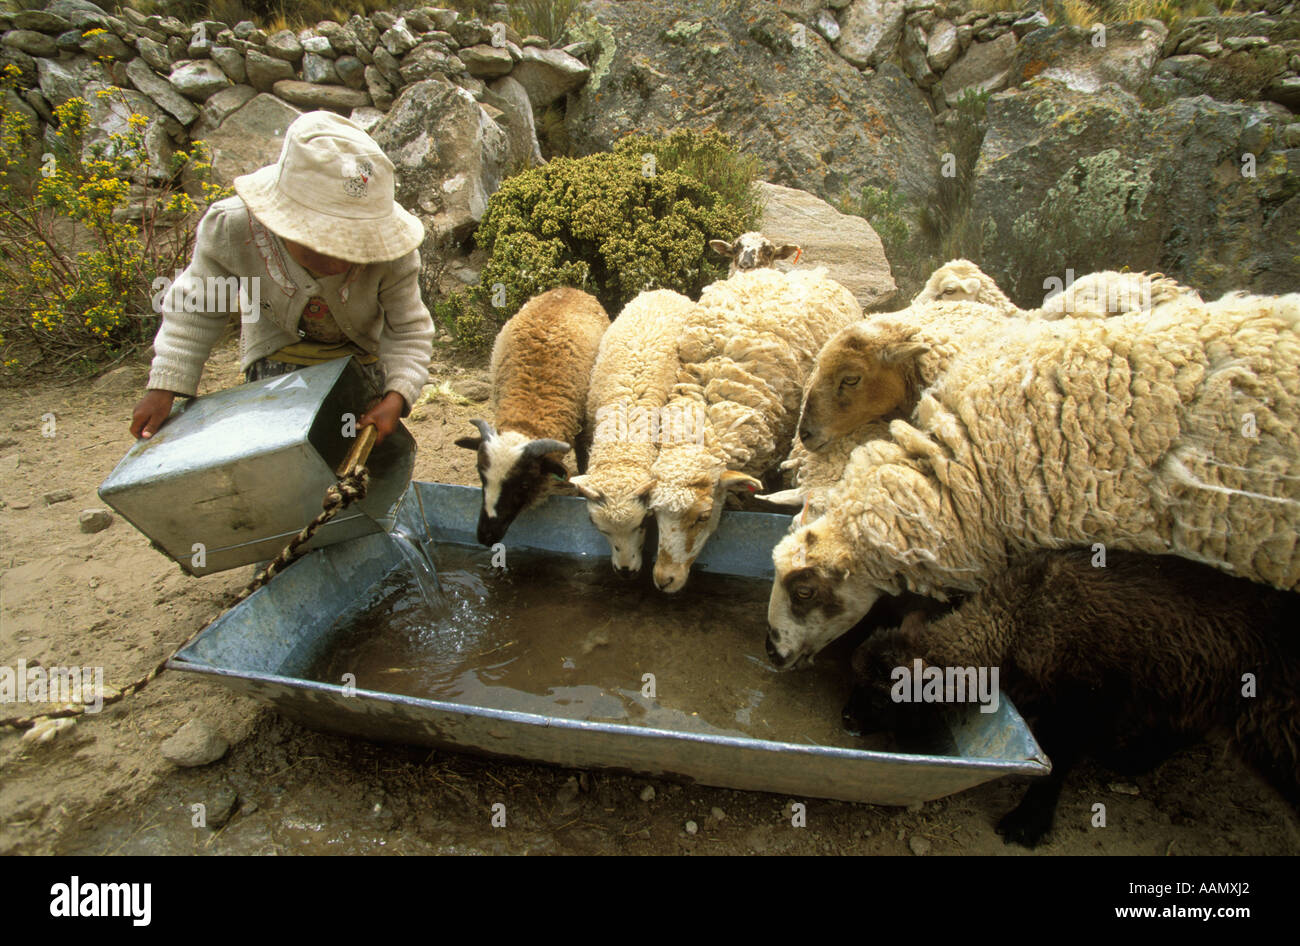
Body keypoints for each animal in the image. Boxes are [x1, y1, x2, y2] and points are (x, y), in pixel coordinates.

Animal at [455, 286, 609, 546]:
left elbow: (582, 458)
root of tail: (568, 288)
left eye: (525, 484)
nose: (486, 536)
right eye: (481, 475)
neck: (528, 413)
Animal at [845, 548, 1300, 846]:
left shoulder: (1087, 695)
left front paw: (1027, 823)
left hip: (1273, 728)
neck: (1022, 613)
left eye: (883, 699)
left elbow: (1060, 758)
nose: (847, 722)